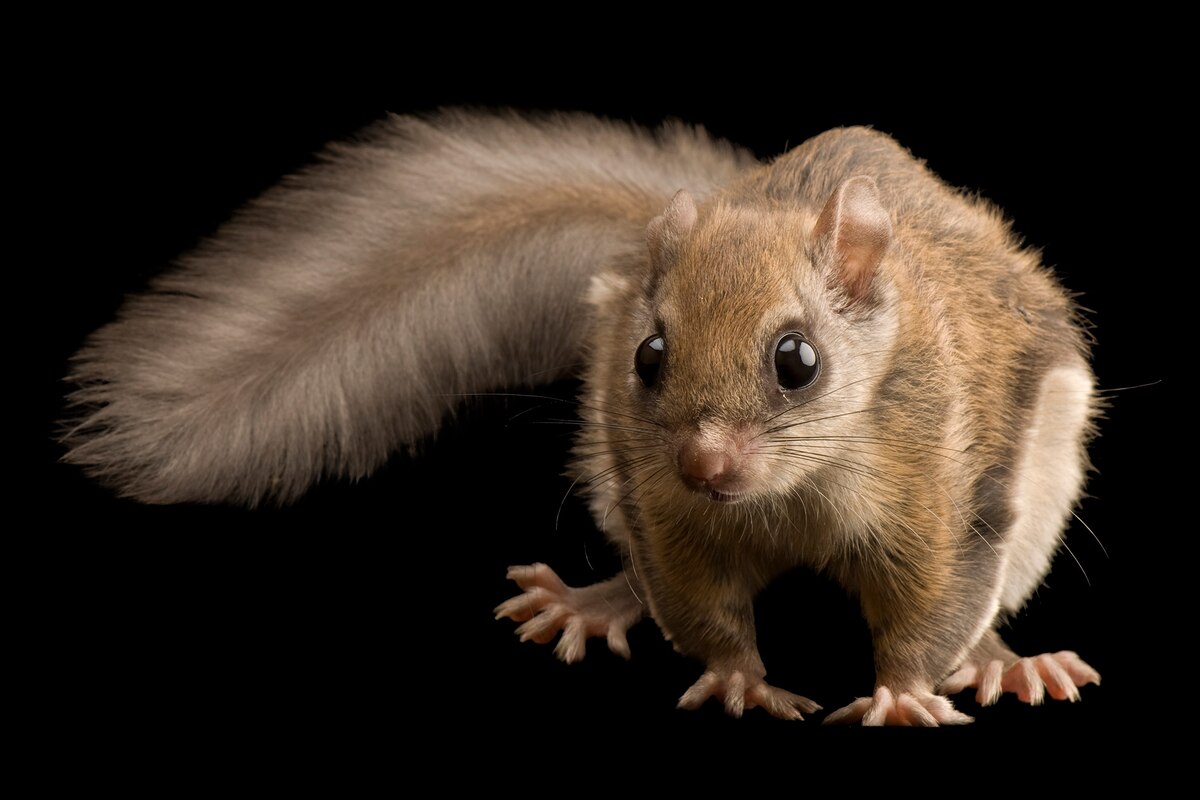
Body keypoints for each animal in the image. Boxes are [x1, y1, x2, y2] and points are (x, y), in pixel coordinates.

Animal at [61, 109, 1100, 725]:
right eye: (648, 355)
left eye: (797, 361)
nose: (703, 467)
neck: (793, 489)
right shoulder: (666, 510)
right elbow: (694, 597)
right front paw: (738, 676)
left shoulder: (946, 488)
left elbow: (935, 605)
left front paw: (901, 695)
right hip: (611, 475)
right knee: (642, 577)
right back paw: (593, 600)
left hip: (1040, 499)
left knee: (990, 606)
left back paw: (1010, 661)